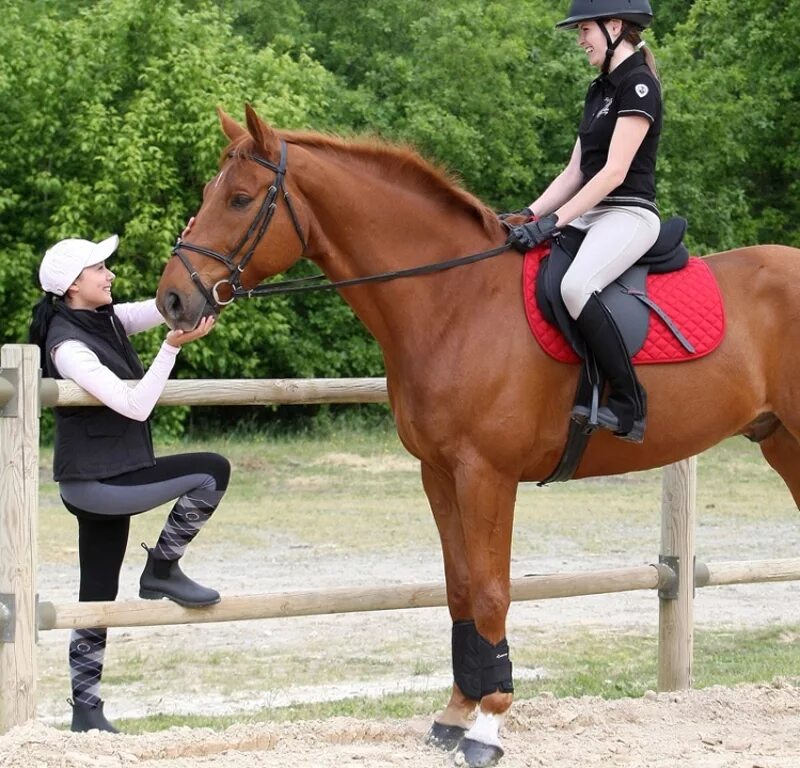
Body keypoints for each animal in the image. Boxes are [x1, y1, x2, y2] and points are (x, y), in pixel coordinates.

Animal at [156, 105, 800, 764]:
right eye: (210, 192)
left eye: (239, 199)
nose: (172, 300)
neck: (453, 300)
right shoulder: (439, 473)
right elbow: (460, 588)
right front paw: (455, 713)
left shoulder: (487, 474)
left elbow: (492, 592)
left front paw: (488, 724)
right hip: (781, 442)